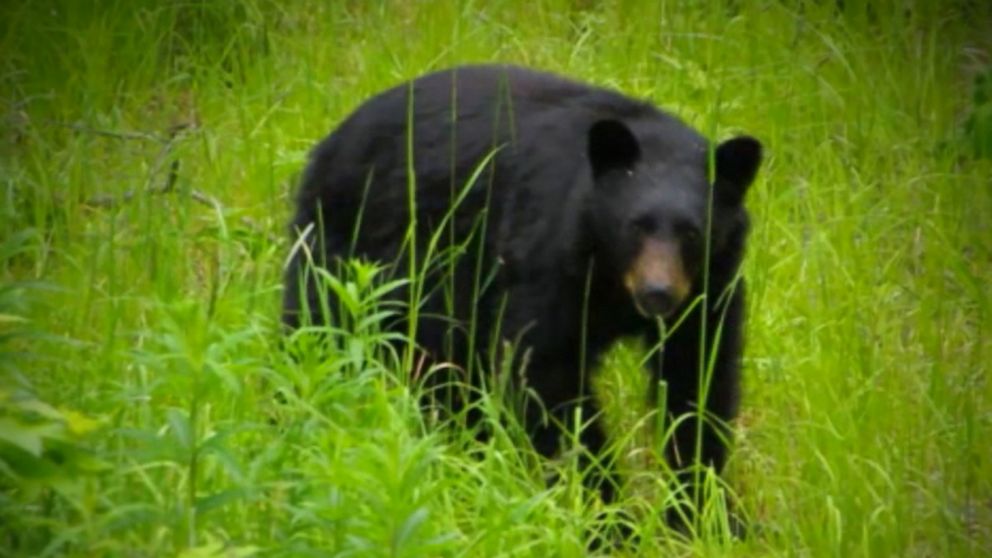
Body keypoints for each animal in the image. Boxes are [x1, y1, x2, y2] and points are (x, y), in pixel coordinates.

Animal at [282, 64, 762, 529]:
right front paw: (607, 515)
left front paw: (704, 514)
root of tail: (328, 143)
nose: (658, 294)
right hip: (354, 249)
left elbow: (698, 380)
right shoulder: (547, 258)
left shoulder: (710, 288)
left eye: (692, 233)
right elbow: (542, 373)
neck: (609, 276)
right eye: (635, 226)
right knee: (319, 331)